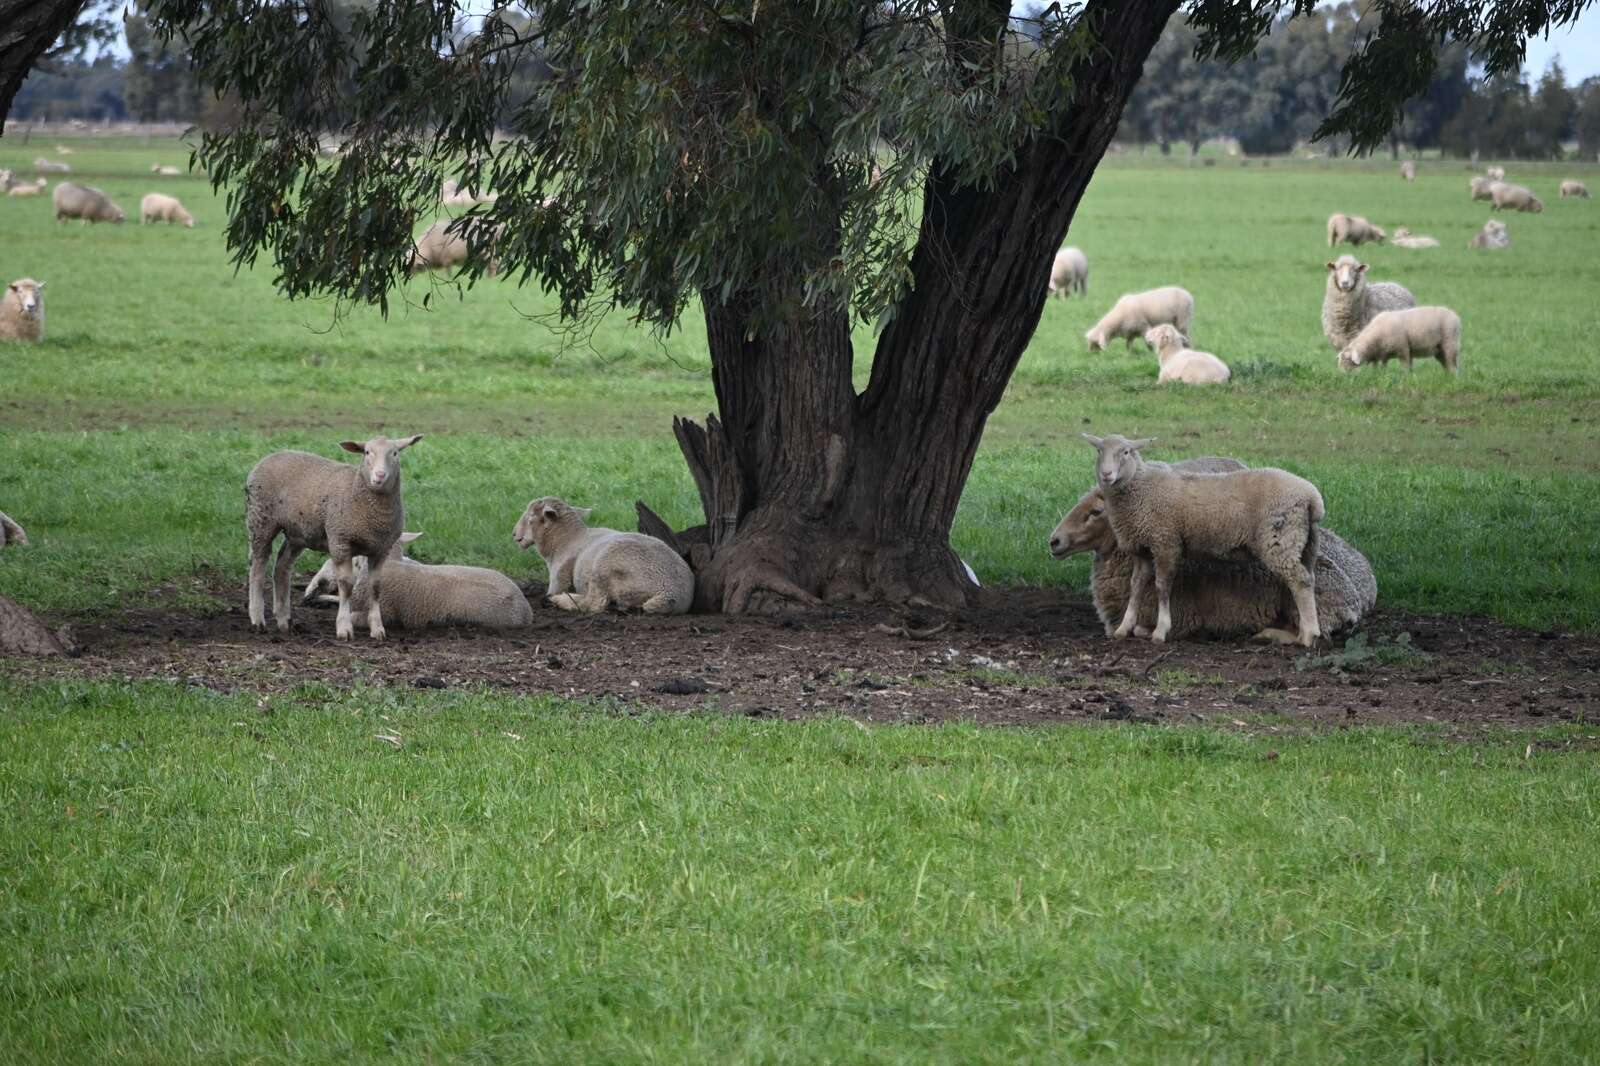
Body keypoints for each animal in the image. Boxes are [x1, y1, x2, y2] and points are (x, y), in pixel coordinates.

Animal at [244, 434, 423, 640]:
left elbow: (375, 587)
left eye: (394, 453)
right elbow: (346, 585)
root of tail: (271, 456)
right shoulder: (340, 540)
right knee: (257, 566)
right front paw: (344, 628)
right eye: (367, 452)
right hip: (260, 519)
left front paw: (377, 628)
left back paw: (284, 621)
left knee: (281, 567)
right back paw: (257, 619)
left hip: (297, 532)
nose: (379, 475)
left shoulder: (381, 549)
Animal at [513, 496, 694, 615]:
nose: (514, 534)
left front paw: (553, 597)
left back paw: (560, 600)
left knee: (593, 604)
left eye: (530, 517)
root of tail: (670, 592)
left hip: (604, 564)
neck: (567, 540)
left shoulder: (559, 578)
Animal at [1048, 460, 1376, 644]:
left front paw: (1151, 632)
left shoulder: (1185, 618)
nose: (1054, 541)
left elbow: (1149, 627)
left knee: (1304, 598)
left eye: (1096, 512)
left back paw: (1286, 635)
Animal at [1081, 434, 1325, 647]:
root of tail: (1312, 497)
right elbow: (1136, 586)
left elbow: (1162, 587)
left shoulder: (1165, 541)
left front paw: (1160, 630)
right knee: (1308, 579)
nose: (1107, 474)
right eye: (1099, 450)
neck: (1140, 488)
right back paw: (1303, 632)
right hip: (1305, 543)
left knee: (1300, 581)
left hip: (1279, 539)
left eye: (1126, 451)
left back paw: (1308, 636)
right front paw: (1124, 627)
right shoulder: (1142, 548)